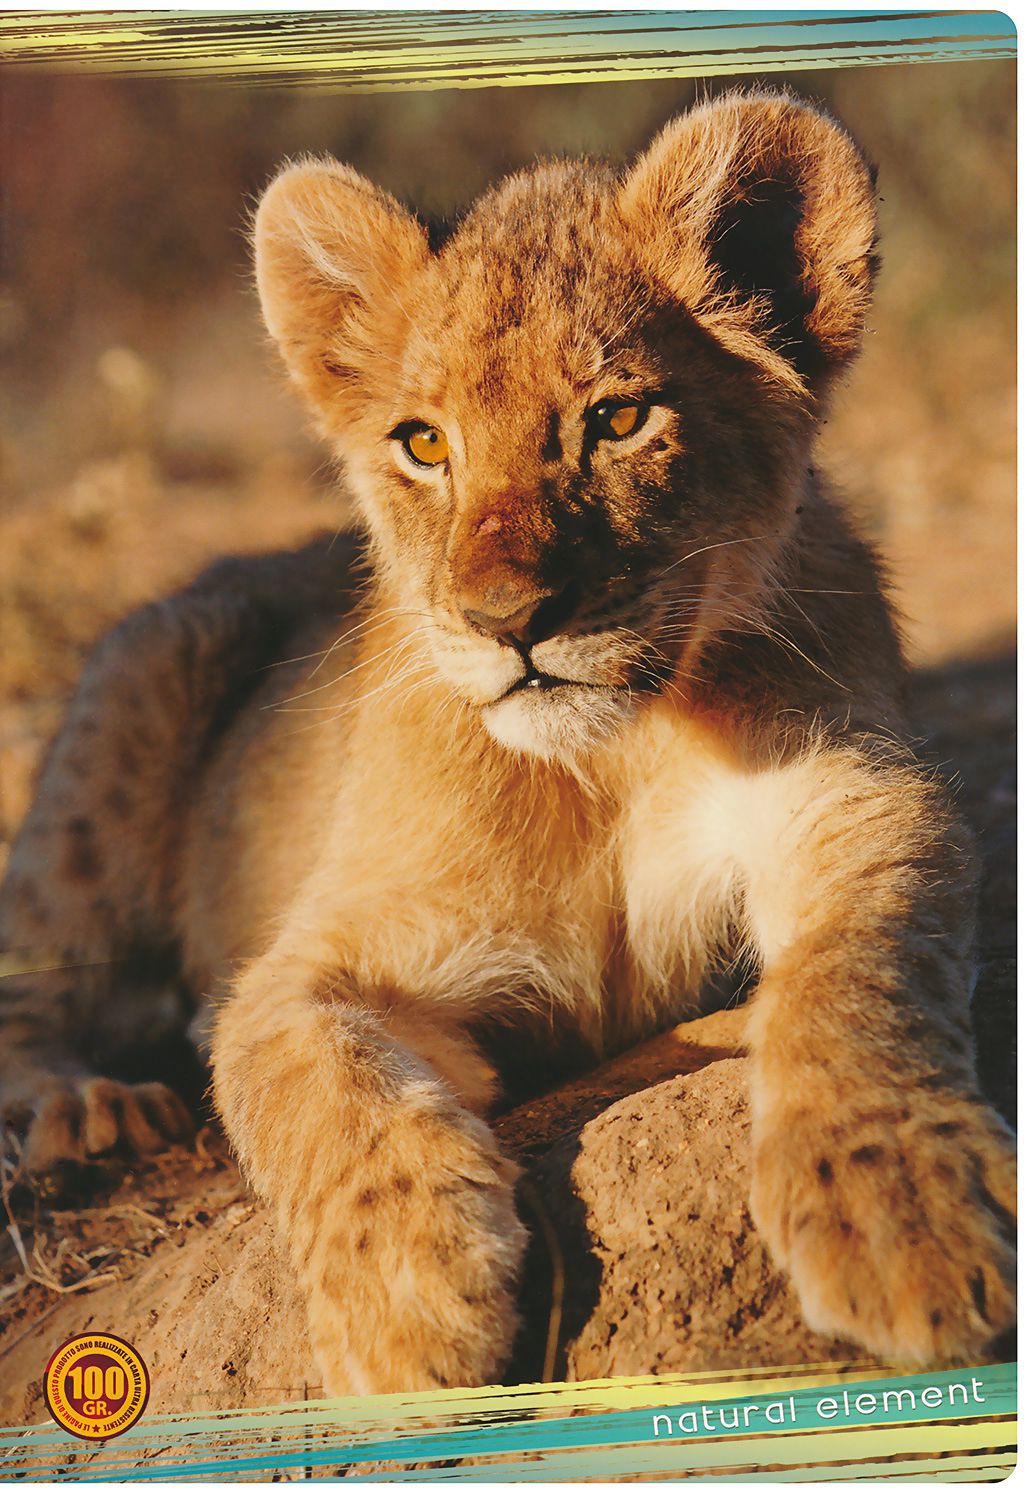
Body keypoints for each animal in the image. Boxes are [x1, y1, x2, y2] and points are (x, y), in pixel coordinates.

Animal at [0, 91, 1015, 1395]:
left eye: (619, 420)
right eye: (424, 444)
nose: (506, 622)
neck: (611, 758)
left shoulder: (857, 798)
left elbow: (862, 976)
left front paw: (903, 1216)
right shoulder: (318, 953)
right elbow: (311, 1078)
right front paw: (405, 1306)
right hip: (136, 703)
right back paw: (92, 1107)